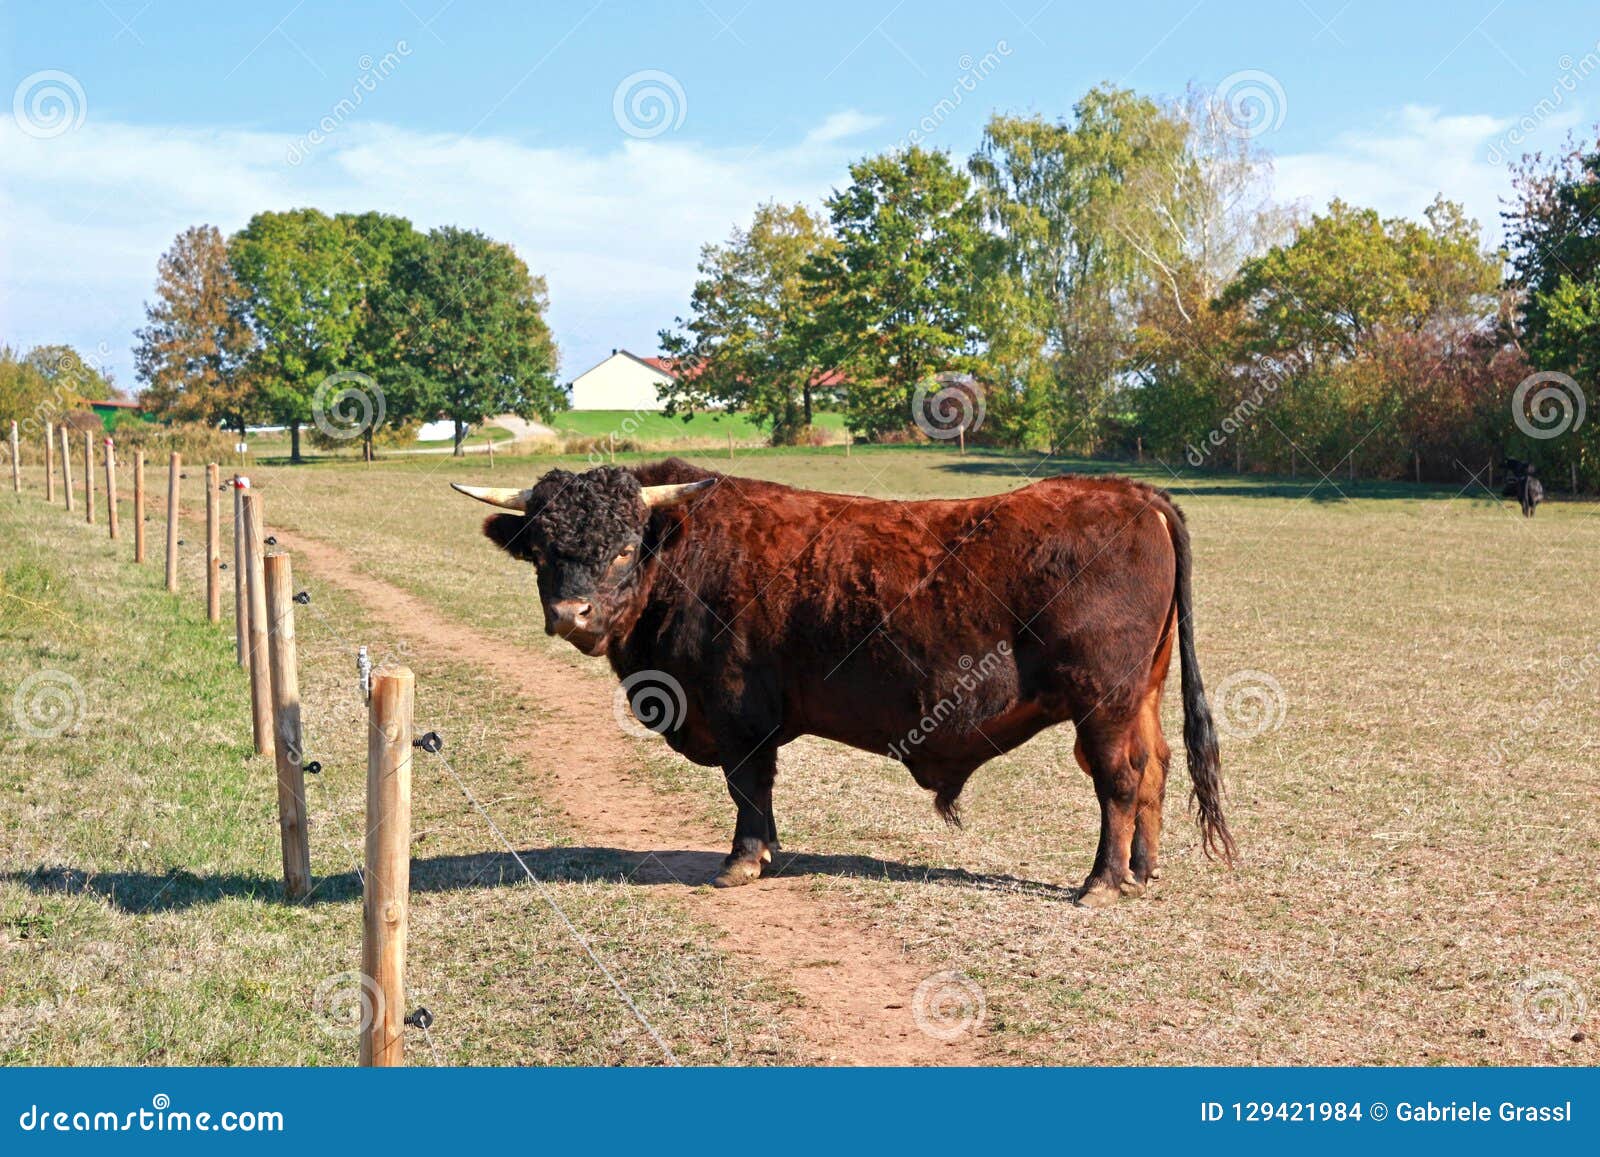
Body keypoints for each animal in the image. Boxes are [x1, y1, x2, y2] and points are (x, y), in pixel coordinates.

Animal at [453, 458, 1234, 907]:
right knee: (1155, 767)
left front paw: (742, 860)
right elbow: (757, 792)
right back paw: (1142, 870)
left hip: (1103, 702)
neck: (684, 553)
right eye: (543, 549)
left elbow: (748, 785)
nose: (571, 613)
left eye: (622, 547)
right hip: (1140, 695)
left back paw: (1102, 881)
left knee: (1119, 779)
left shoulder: (736, 708)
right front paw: (767, 852)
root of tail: (1132, 494)